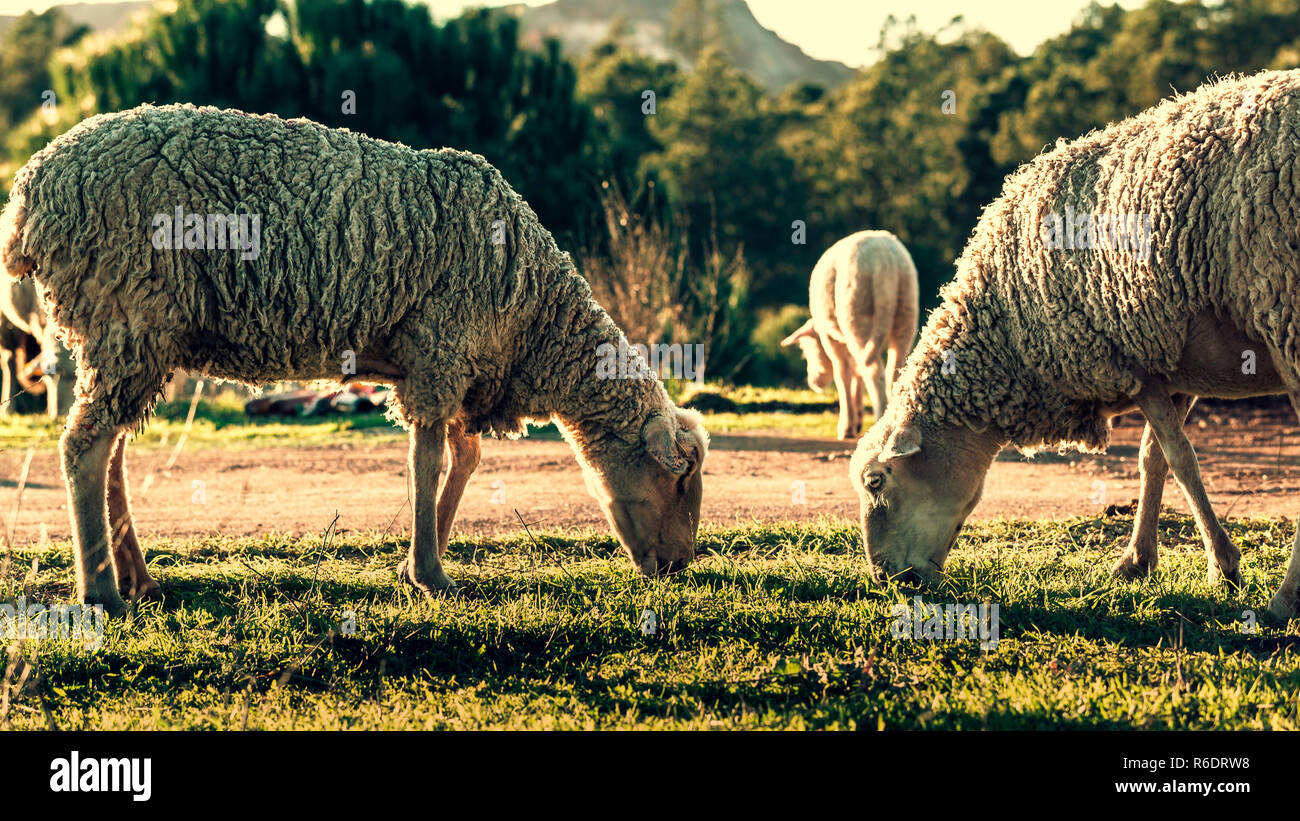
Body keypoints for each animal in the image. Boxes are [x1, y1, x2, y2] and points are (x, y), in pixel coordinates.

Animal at [0, 103, 709, 616]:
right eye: (679, 479)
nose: (680, 566)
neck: (535, 318)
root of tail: (30, 195)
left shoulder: (452, 366)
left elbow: (465, 459)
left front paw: (422, 561)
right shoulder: (441, 349)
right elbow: (430, 461)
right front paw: (429, 574)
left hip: (129, 339)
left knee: (111, 447)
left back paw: (138, 578)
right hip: (125, 318)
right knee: (85, 447)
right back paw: (102, 592)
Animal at [781, 230, 918, 439]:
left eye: (807, 350)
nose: (813, 382)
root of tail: (884, 263)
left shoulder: (829, 337)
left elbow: (843, 372)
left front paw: (846, 427)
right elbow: (855, 371)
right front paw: (858, 418)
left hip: (855, 310)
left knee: (872, 369)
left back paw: (878, 419)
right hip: (905, 309)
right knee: (894, 369)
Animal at [848, 70, 1300, 621]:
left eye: (876, 481)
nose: (889, 580)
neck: (1009, 338)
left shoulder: (1125, 357)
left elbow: (1180, 460)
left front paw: (1223, 566)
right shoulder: (1172, 363)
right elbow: (1153, 458)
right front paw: (1138, 562)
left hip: (1287, 313)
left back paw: (1285, 599)